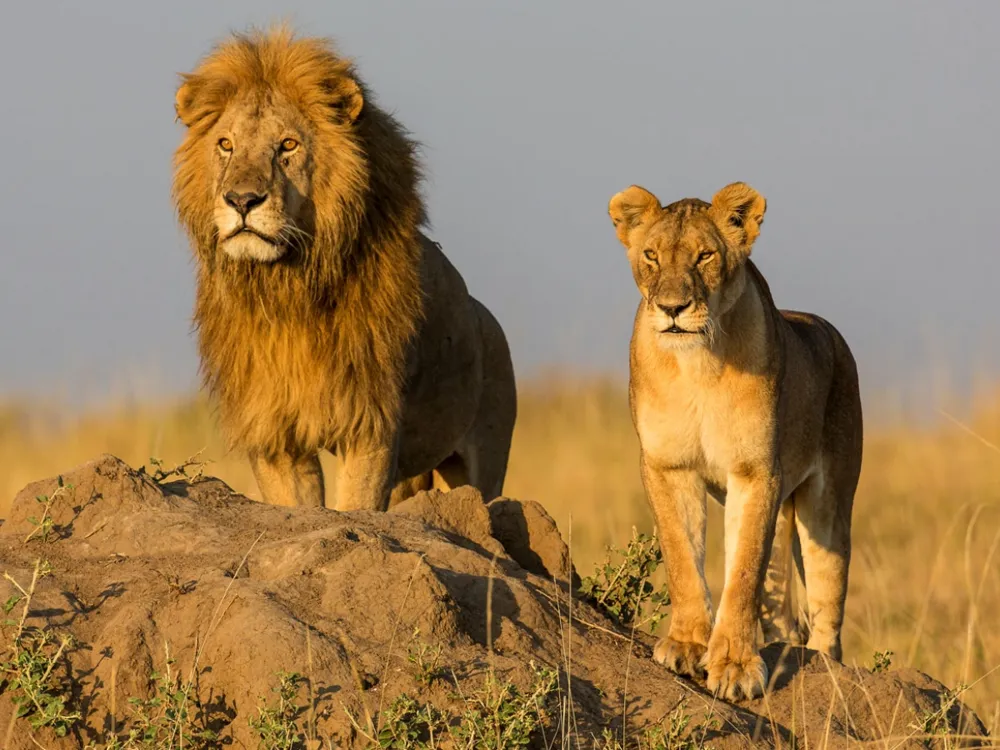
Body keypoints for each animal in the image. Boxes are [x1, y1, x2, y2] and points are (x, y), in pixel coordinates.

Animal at [171, 27, 517, 511]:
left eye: (288, 146)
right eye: (226, 145)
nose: (241, 200)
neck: (289, 284)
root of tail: (486, 317)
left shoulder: (372, 423)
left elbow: (357, 504)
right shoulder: (274, 429)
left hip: (483, 458)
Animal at [608, 182, 863, 701]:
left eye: (704, 255)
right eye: (651, 256)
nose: (672, 308)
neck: (697, 364)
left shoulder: (755, 471)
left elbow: (742, 570)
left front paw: (735, 666)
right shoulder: (668, 465)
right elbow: (682, 557)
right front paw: (687, 644)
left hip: (827, 506)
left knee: (827, 609)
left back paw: (828, 673)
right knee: (787, 618)